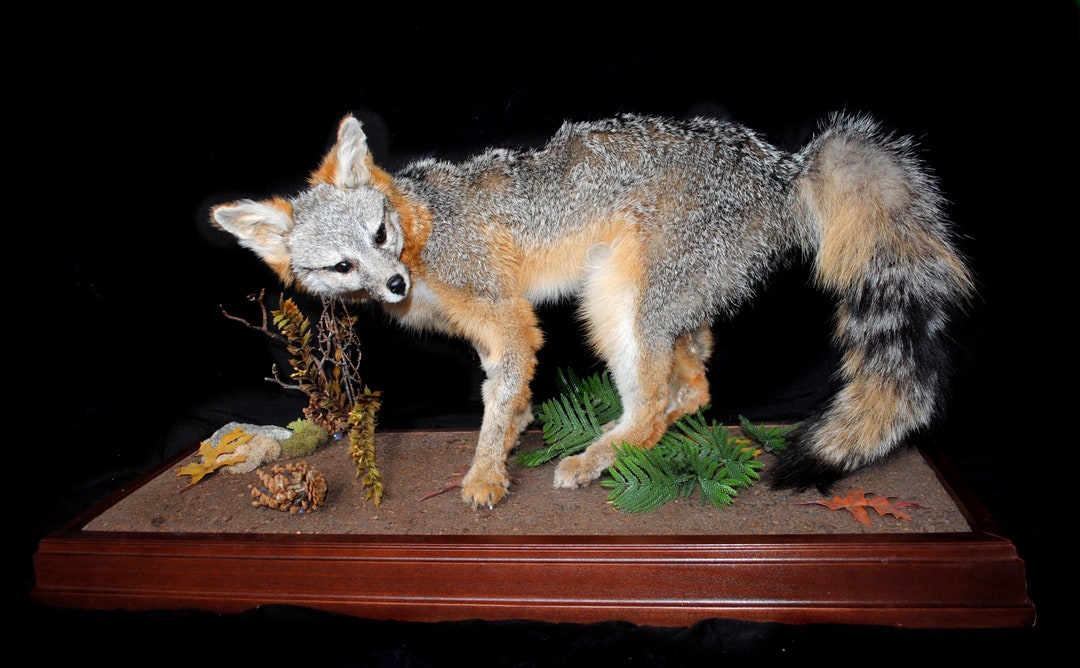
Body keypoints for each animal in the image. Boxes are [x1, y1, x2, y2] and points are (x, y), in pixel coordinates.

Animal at [211, 111, 974, 509]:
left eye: (379, 236)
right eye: (342, 265)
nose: (394, 284)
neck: (422, 225)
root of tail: (777, 166)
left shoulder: (508, 316)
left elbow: (496, 398)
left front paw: (485, 473)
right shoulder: (489, 329)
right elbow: (506, 390)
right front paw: (513, 429)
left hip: (613, 302)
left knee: (657, 405)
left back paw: (599, 455)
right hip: (661, 305)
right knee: (693, 387)